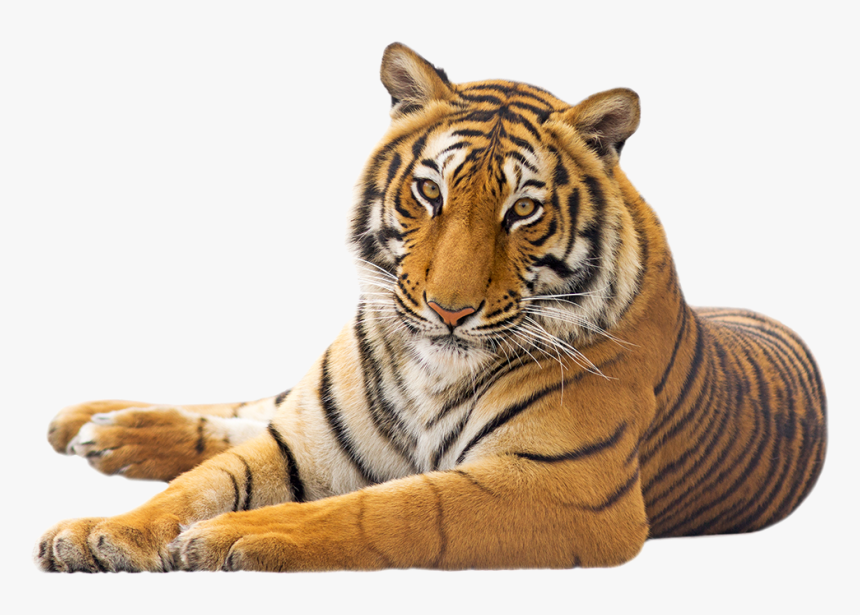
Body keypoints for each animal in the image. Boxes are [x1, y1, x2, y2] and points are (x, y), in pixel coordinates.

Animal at [35, 42, 826, 572]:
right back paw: (94, 425)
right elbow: (202, 482)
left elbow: (395, 507)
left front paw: (240, 536)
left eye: (523, 211)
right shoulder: (307, 440)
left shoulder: (563, 486)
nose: (450, 310)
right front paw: (105, 533)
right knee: (245, 411)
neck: (431, 367)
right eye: (429, 192)